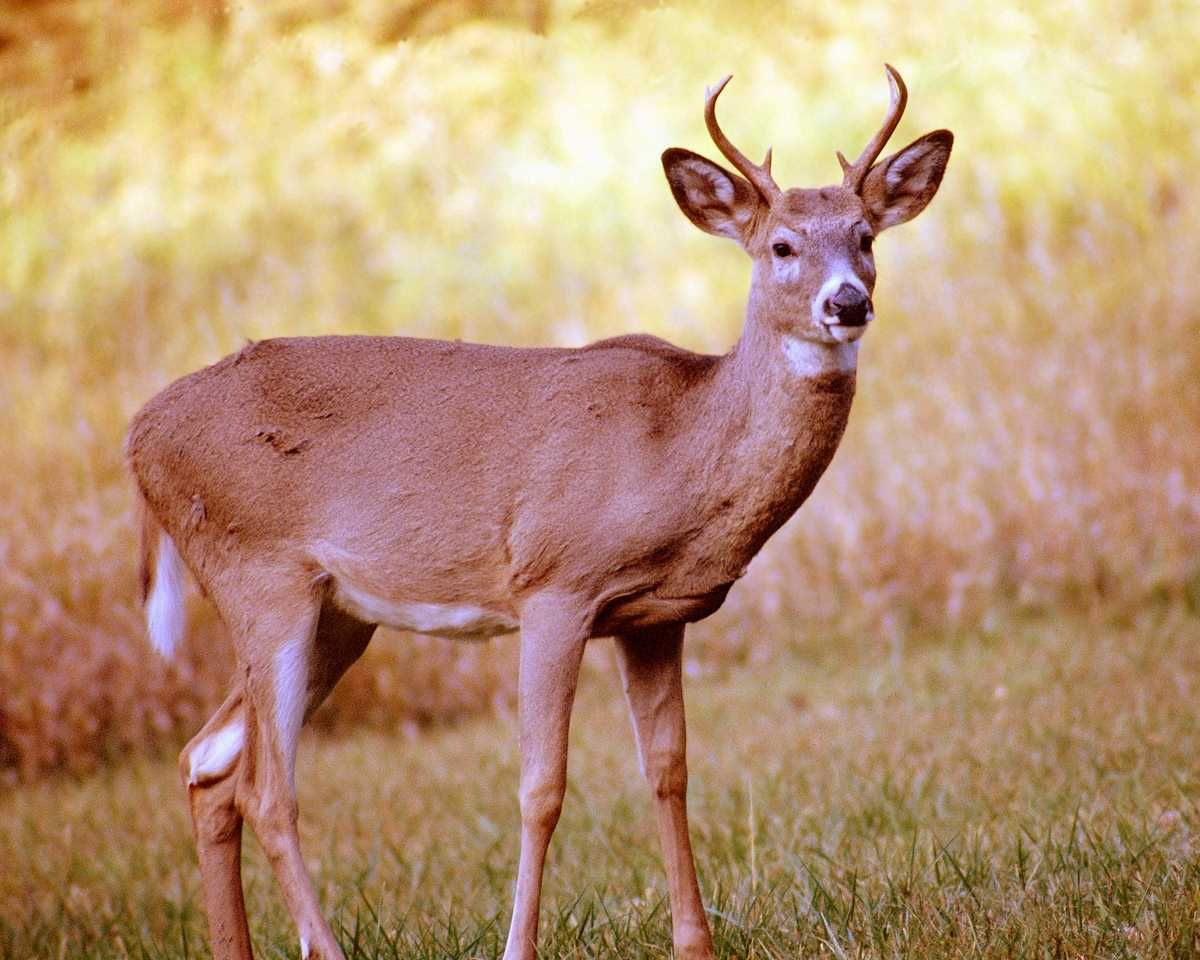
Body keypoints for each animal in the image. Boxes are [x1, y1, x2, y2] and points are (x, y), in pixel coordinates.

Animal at [125, 66, 951, 960]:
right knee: (266, 789)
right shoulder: (555, 585)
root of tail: (138, 437)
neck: (679, 442)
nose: (848, 304)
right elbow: (541, 787)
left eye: (866, 236)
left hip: (338, 612)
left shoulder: (653, 616)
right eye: (782, 246)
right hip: (259, 574)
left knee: (207, 761)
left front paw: (694, 942)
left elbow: (669, 770)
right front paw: (519, 945)